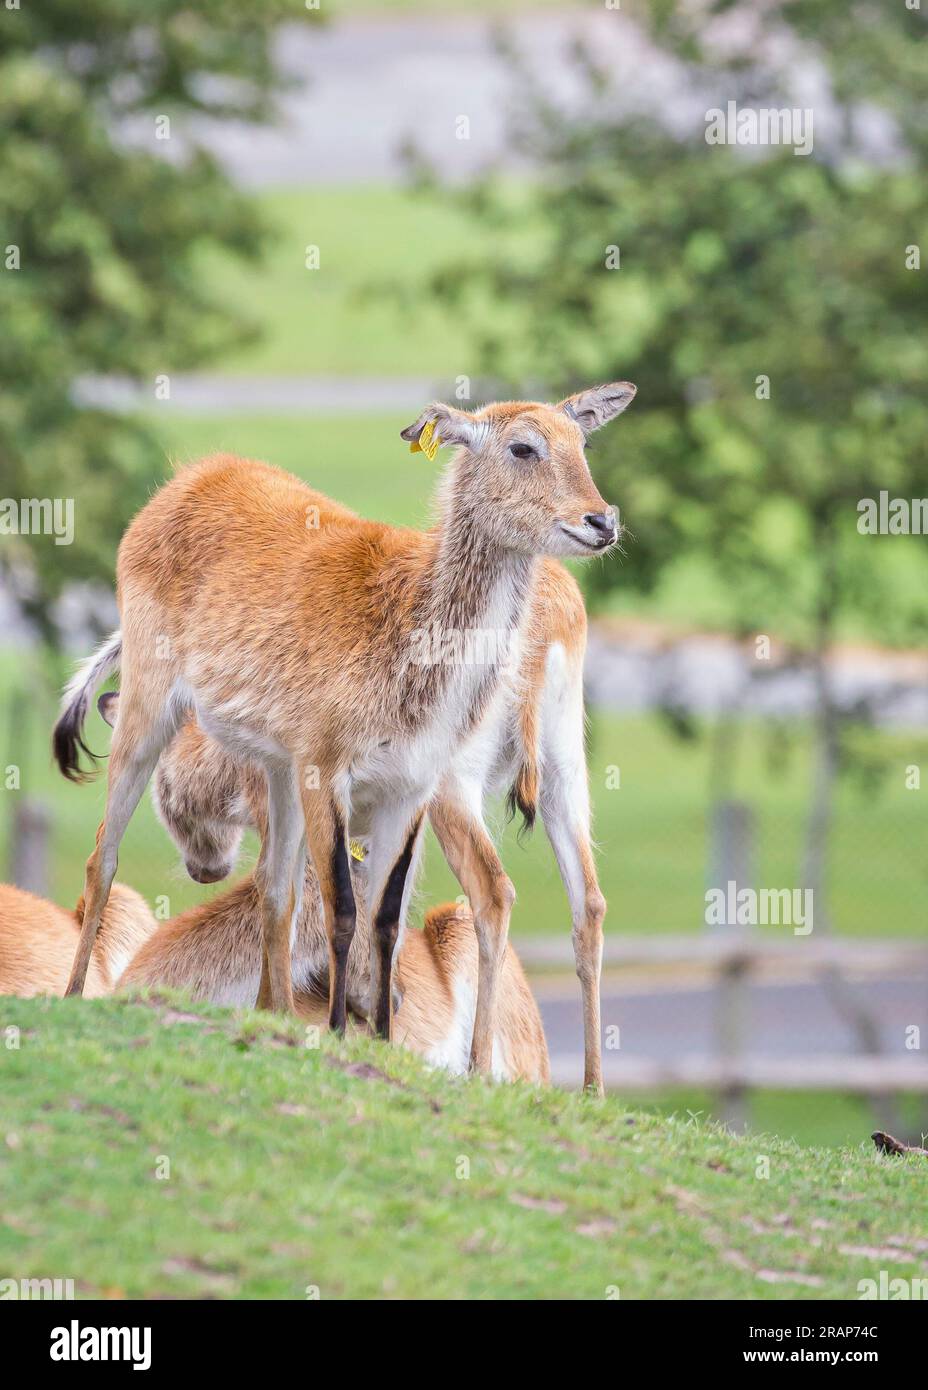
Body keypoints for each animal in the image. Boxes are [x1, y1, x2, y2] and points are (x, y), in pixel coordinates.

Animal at [53, 385, 635, 1088]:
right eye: (524, 445)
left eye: (583, 442)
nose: (602, 521)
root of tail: (188, 477)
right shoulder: (331, 770)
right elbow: (344, 907)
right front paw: (336, 1031)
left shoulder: (407, 788)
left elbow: (383, 915)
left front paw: (379, 1039)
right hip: (151, 704)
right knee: (104, 855)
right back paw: (75, 996)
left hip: (535, 771)